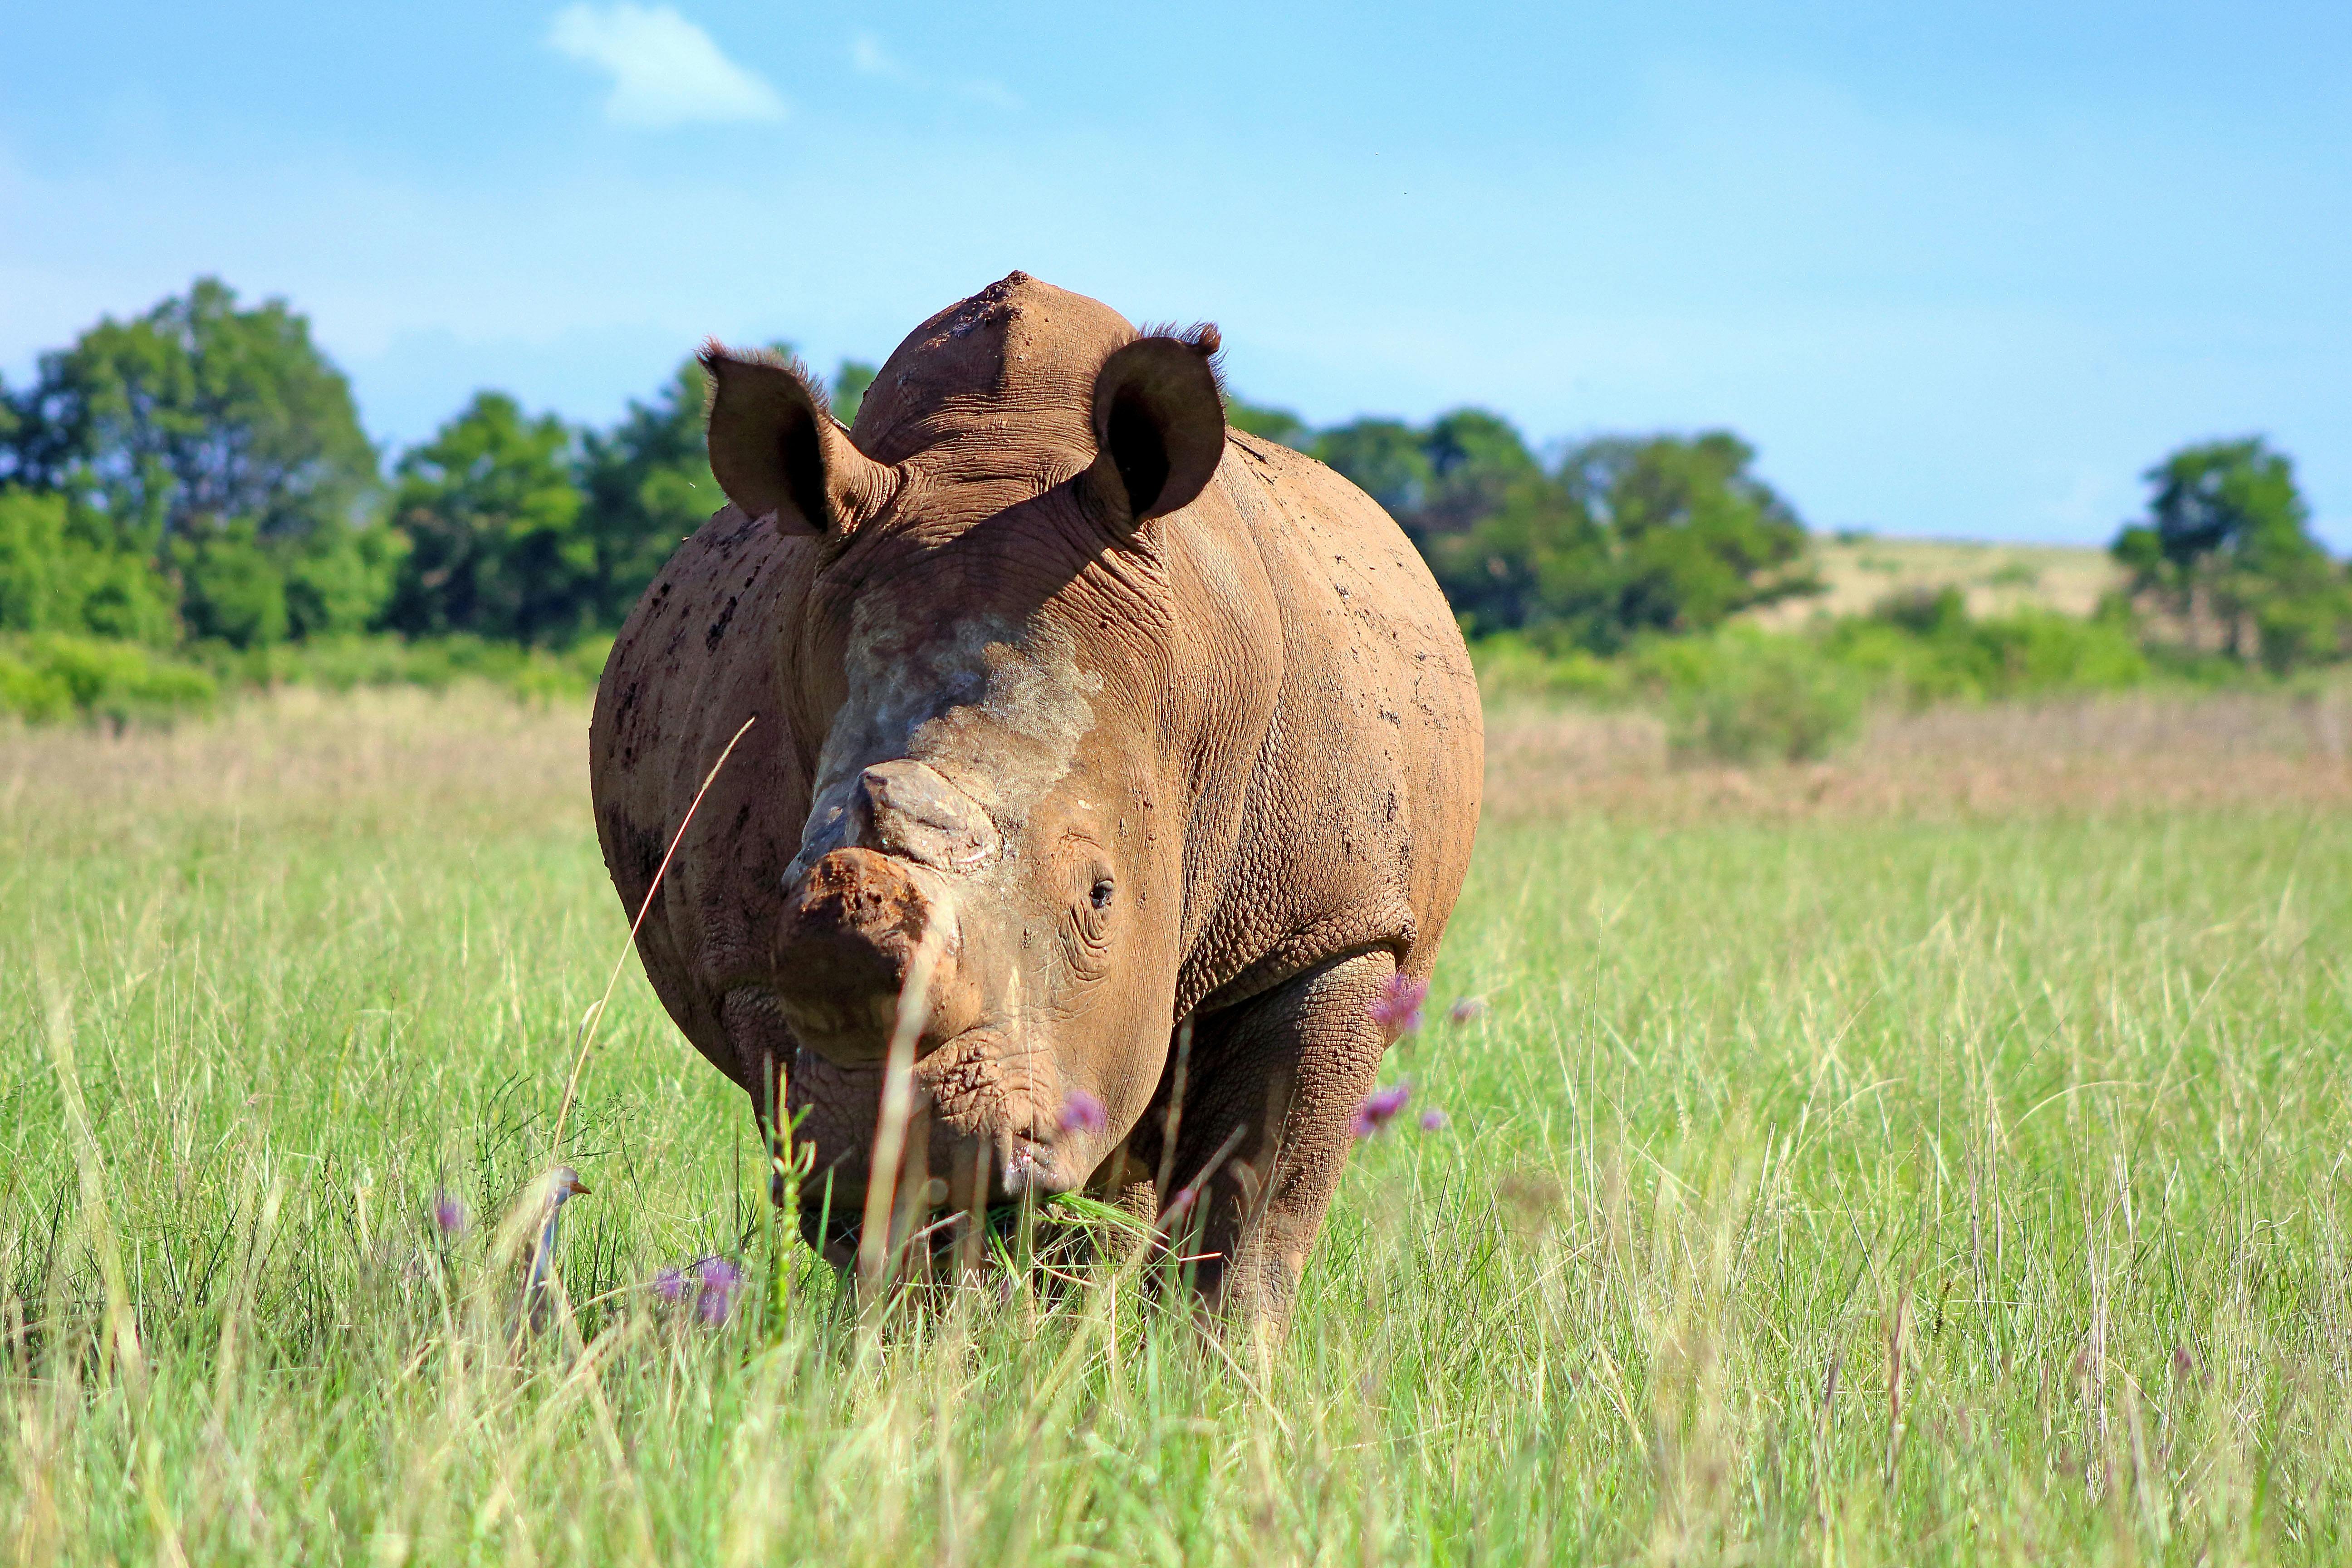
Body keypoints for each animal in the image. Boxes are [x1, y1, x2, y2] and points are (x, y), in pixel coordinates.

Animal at [590, 273, 1481, 1320]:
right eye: (791, 882)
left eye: (1100, 896)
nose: (918, 1138)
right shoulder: (755, 970)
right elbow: (888, 1234)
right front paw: (915, 1347)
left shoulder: (1328, 925)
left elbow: (1253, 1220)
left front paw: (1213, 1365)